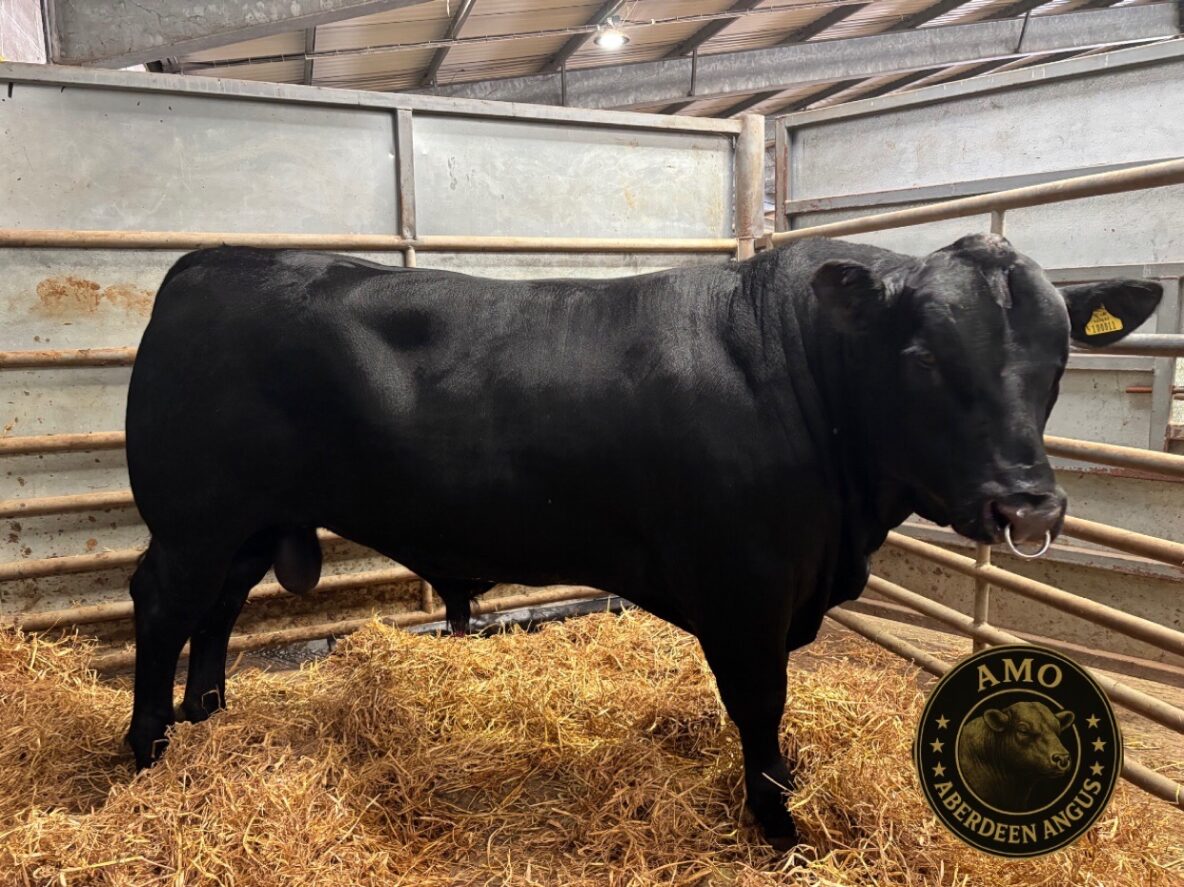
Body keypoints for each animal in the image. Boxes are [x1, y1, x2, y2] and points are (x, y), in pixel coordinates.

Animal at [122, 234, 1159, 849]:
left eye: (1058, 357)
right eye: (923, 359)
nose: (1028, 503)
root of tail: (212, 259)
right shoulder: (747, 593)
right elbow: (760, 709)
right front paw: (778, 823)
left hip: (246, 525)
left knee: (215, 611)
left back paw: (207, 715)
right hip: (194, 518)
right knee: (162, 607)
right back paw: (145, 747)